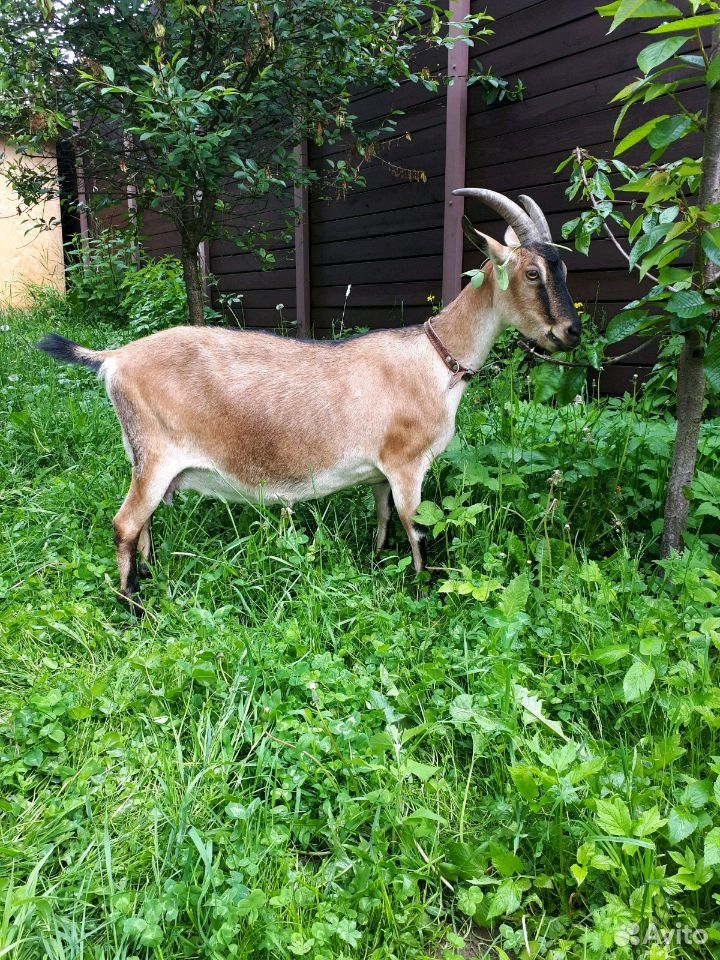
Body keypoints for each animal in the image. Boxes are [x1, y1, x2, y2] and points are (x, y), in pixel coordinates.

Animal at [38, 188, 581, 609]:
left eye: (562, 267)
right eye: (533, 273)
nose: (570, 333)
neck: (434, 359)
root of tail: (115, 358)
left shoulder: (380, 471)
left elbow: (383, 517)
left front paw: (376, 562)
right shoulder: (407, 464)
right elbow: (417, 528)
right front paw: (423, 591)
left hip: (143, 458)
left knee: (143, 525)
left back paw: (149, 579)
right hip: (156, 454)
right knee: (126, 524)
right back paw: (135, 607)